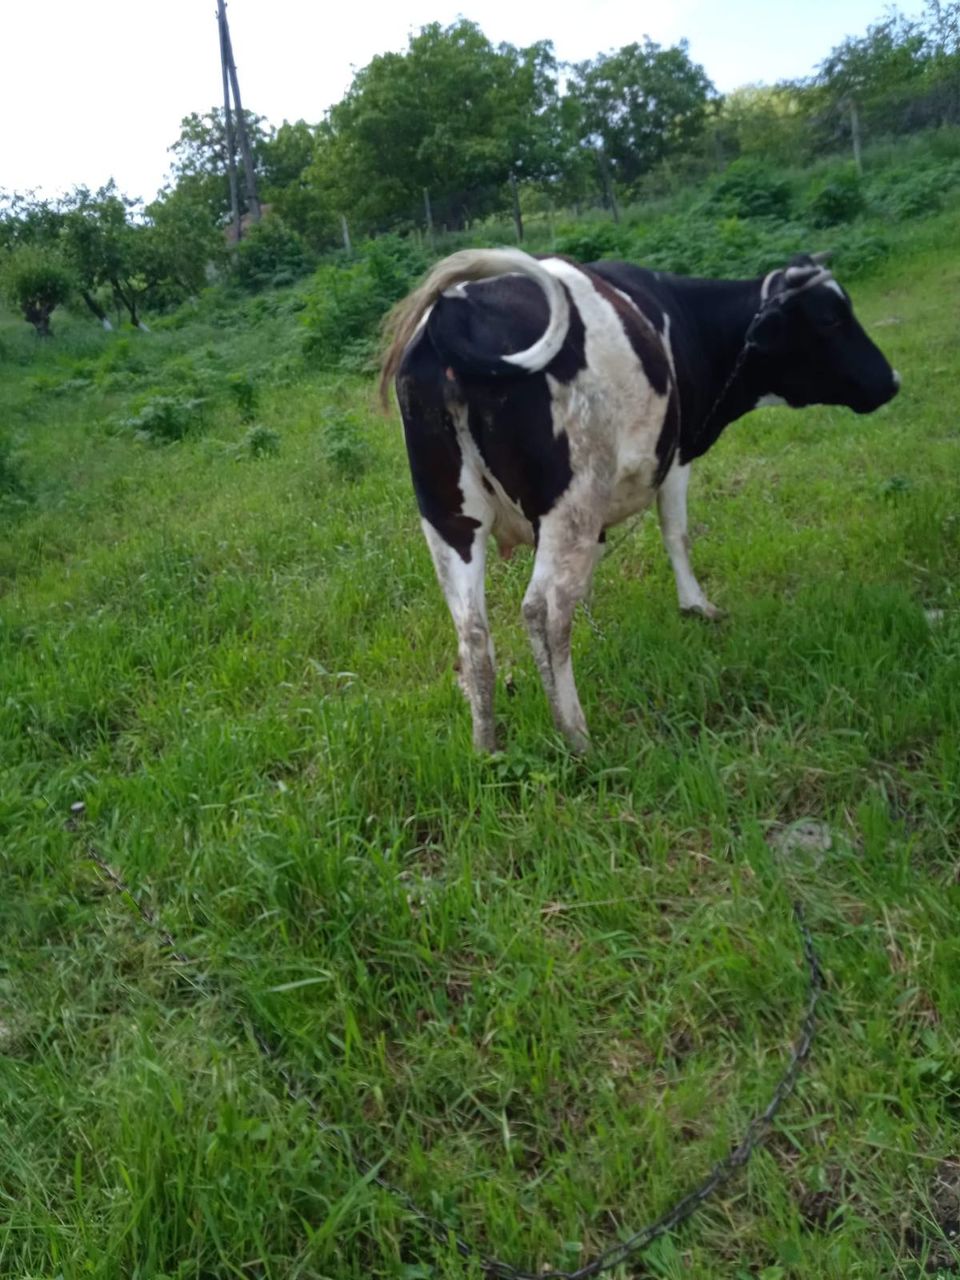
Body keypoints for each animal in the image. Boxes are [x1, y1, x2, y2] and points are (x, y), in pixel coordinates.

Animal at [379, 249, 900, 752]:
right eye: (830, 319)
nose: (891, 380)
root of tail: (457, 309)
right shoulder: (676, 456)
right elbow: (677, 534)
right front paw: (697, 606)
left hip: (449, 517)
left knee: (472, 628)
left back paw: (486, 746)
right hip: (571, 501)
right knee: (543, 611)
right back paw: (576, 734)